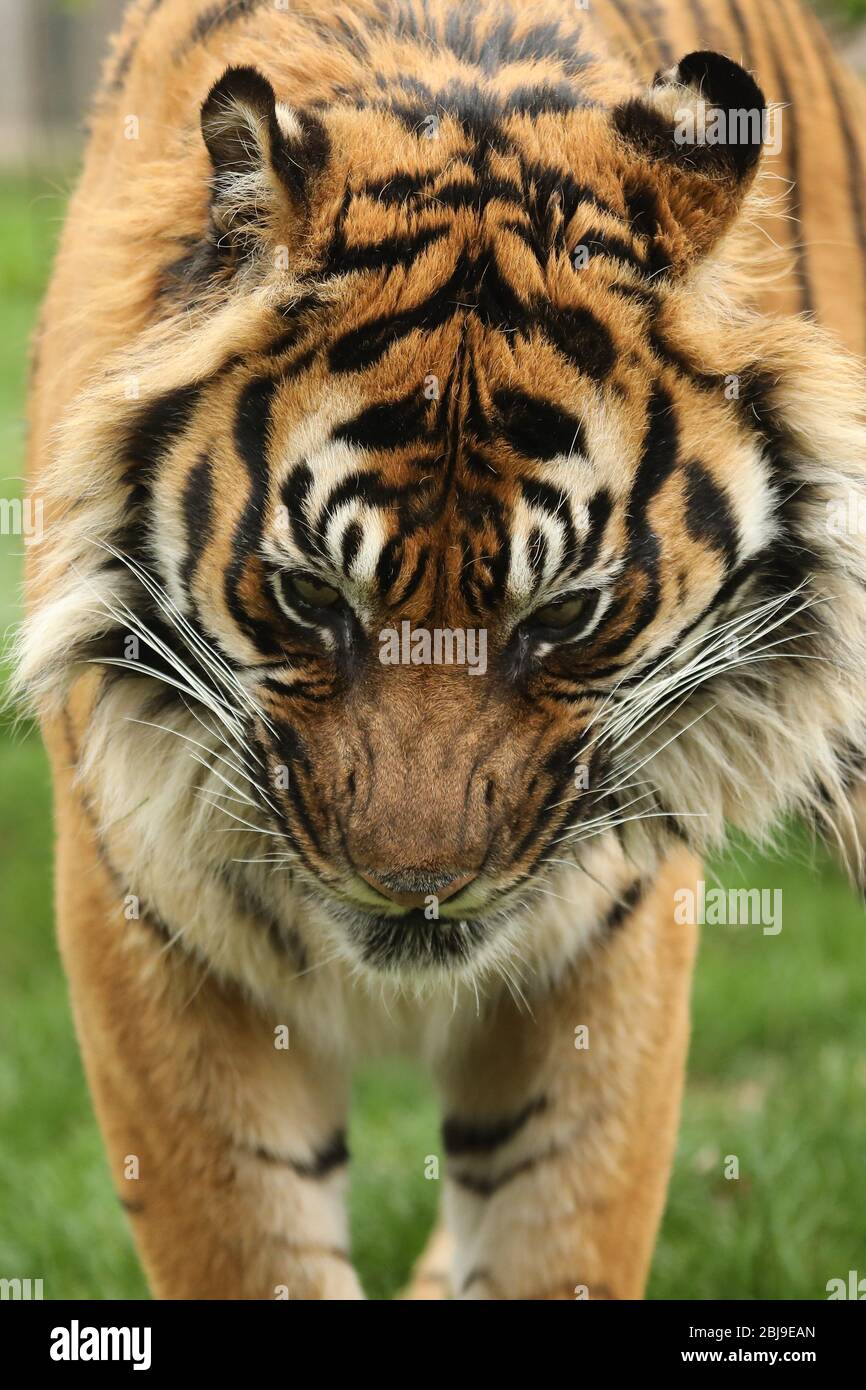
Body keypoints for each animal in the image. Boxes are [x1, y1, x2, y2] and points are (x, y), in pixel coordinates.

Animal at [16, 0, 866, 1301]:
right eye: (311, 596)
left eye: (562, 616)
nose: (413, 891)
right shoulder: (141, 913)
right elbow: (248, 1242)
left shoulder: (609, 935)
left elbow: (557, 1232)